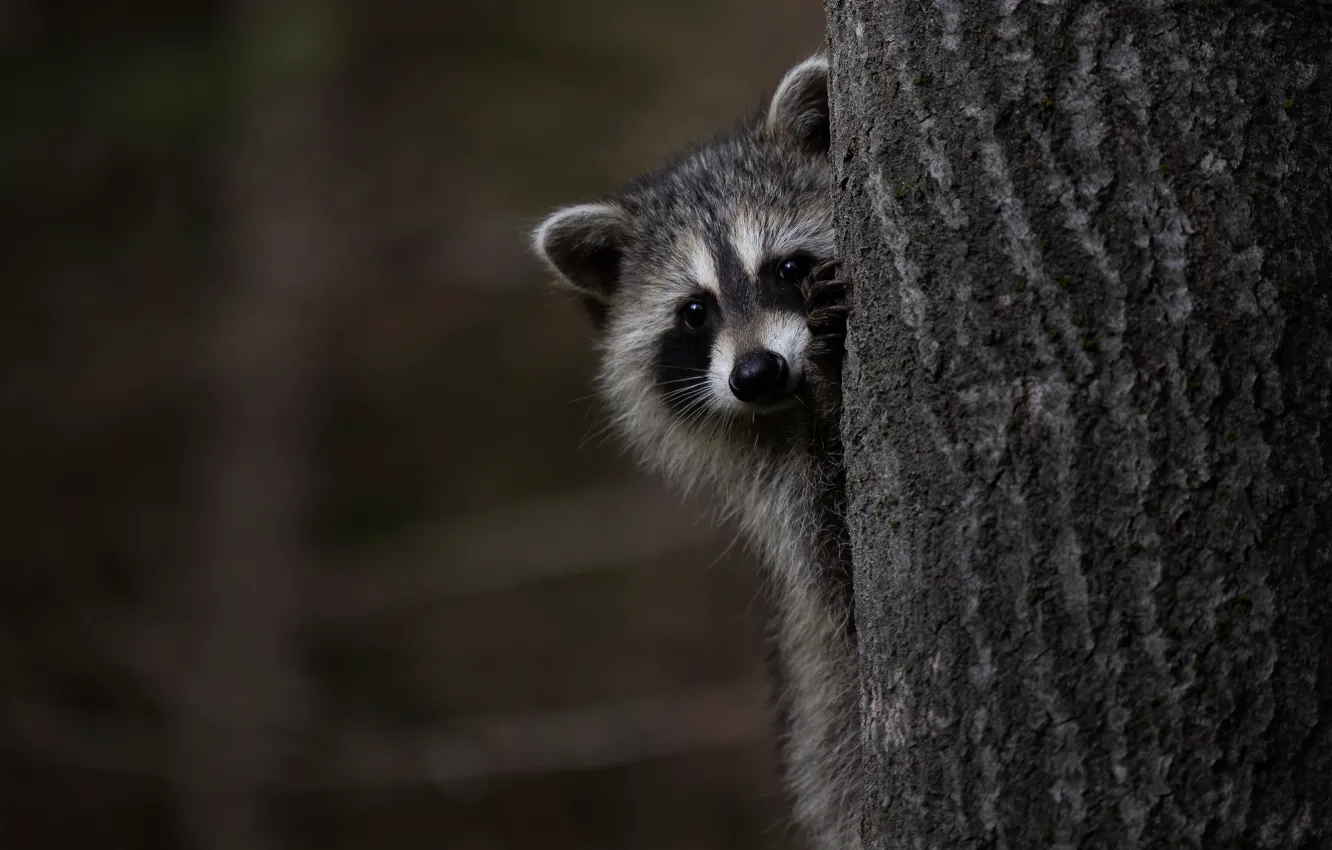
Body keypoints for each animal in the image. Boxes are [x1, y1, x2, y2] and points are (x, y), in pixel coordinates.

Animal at [531, 55, 860, 850]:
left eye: (786, 269)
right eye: (694, 312)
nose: (758, 373)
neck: (785, 410)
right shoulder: (786, 500)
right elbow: (833, 571)